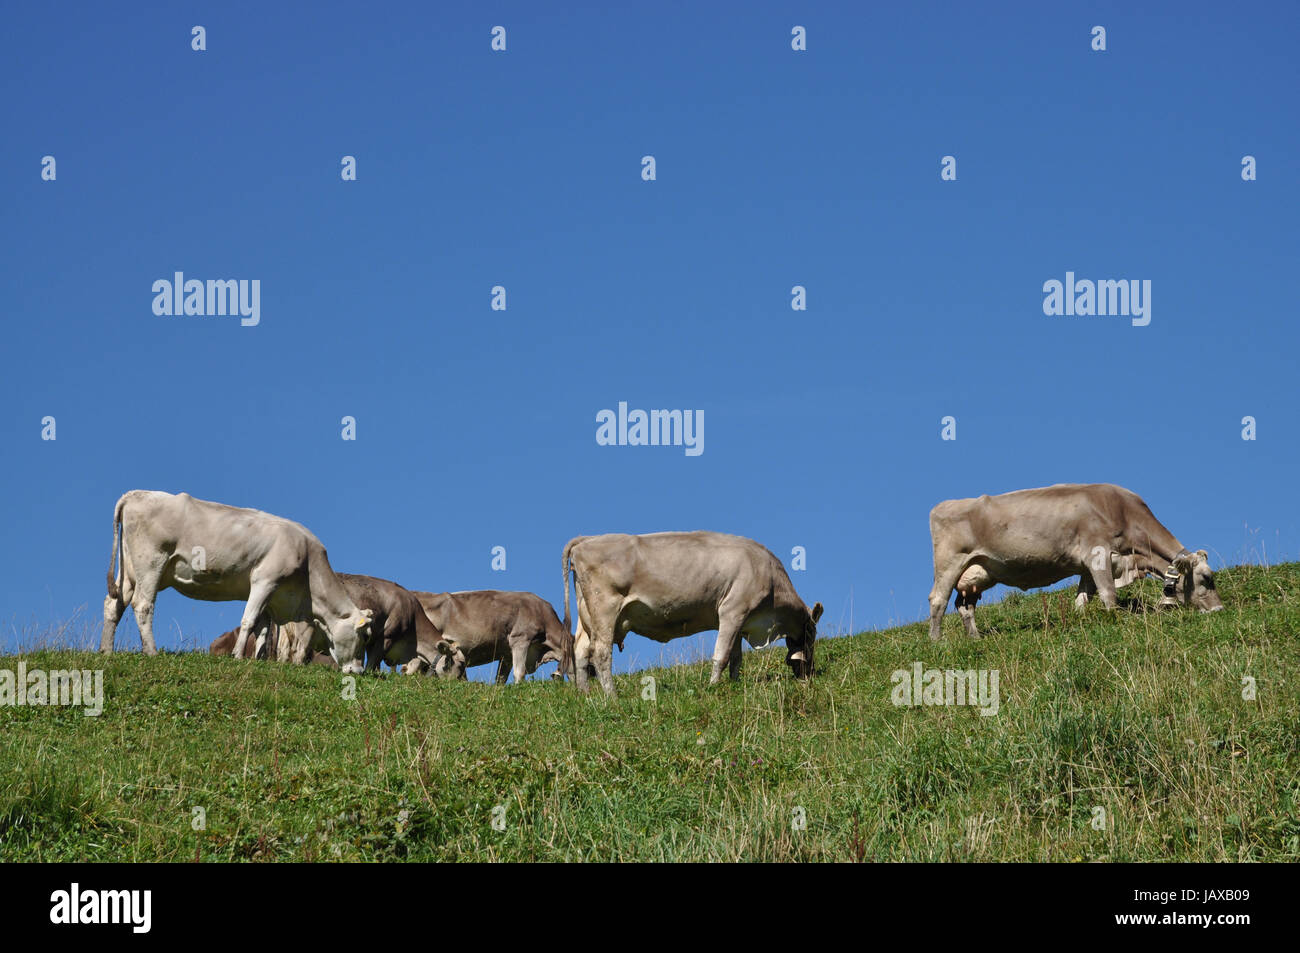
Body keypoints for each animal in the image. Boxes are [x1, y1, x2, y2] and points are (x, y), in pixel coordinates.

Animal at [101, 490, 373, 673]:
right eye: (363, 637)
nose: (358, 671)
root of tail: (136, 494)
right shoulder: (265, 580)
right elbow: (248, 620)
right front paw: (237, 656)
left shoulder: (272, 595)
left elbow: (263, 629)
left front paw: (259, 659)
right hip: (151, 562)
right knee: (143, 604)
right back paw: (151, 651)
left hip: (129, 572)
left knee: (114, 604)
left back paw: (106, 650)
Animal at [562, 532, 823, 696]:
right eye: (812, 634)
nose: (809, 674)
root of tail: (586, 540)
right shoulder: (732, 610)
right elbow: (721, 655)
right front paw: (713, 686)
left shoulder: (740, 619)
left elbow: (736, 657)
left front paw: (734, 684)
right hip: (604, 608)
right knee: (601, 652)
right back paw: (612, 696)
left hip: (586, 615)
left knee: (581, 650)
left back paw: (585, 694)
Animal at [928, 483, 1223, 641]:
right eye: (1206, 578)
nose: (1219, 610)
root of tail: (943, 505)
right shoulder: (1098, 553)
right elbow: (1108, 594)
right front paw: (1114, 619)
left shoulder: (1088, 567)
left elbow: (1082, 600)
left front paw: (1080, 623)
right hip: (950, 562)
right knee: (938, 599)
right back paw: (936, 641)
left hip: (978, 573)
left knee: (965, 606)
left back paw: (975, 638)